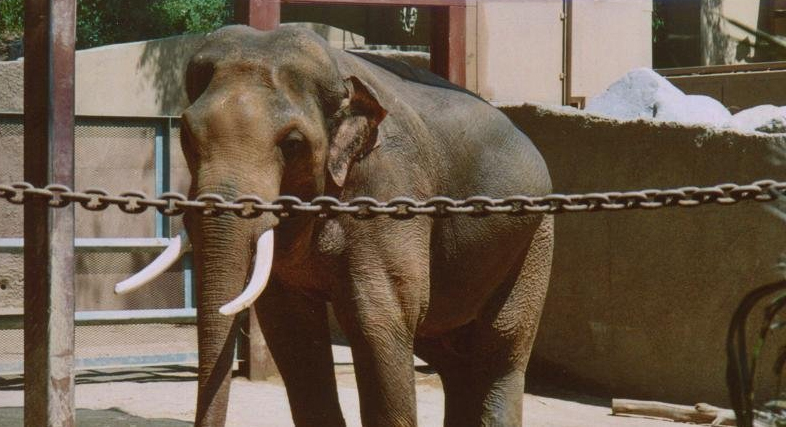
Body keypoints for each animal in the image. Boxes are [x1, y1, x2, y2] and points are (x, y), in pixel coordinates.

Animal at [118, 25, 553, 426]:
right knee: (450, 355)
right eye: (188, 135)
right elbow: (291, 327)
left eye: (292, 144)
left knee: (500, 349)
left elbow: (378, 318)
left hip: (536, 238)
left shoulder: (391, 189)